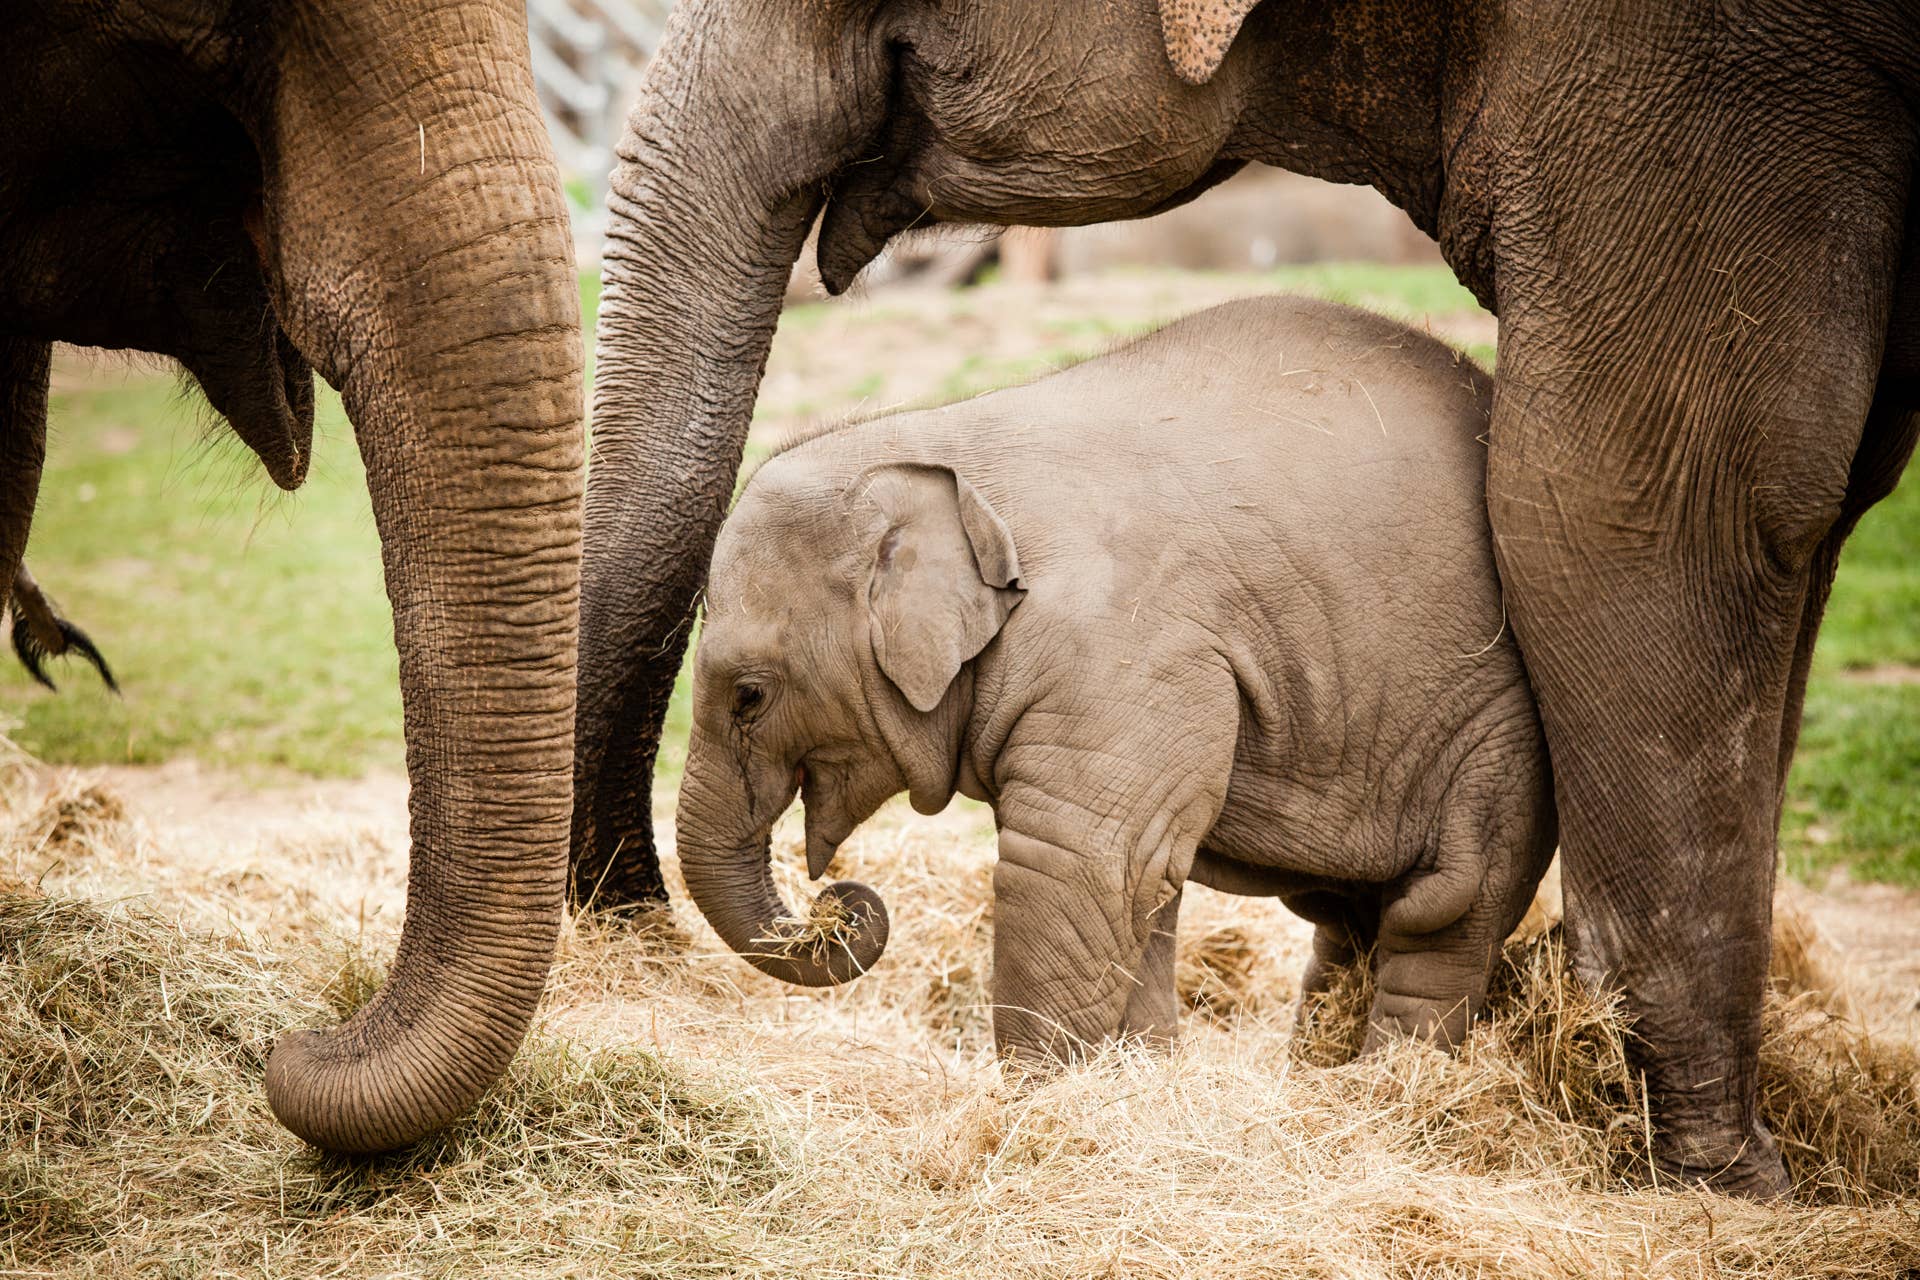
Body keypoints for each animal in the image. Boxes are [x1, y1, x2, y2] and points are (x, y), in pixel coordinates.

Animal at [671, 296, 1558, 1063]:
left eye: (749, 696)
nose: (837, 905)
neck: (936, 444)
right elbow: (1145, 884)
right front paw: (1137, 1079)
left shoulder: (1124, 654)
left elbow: (1086, 864)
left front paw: (1043, 1108)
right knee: (1352, 915)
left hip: (1497, 731)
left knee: (1449, 905)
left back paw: (1390, 1090)